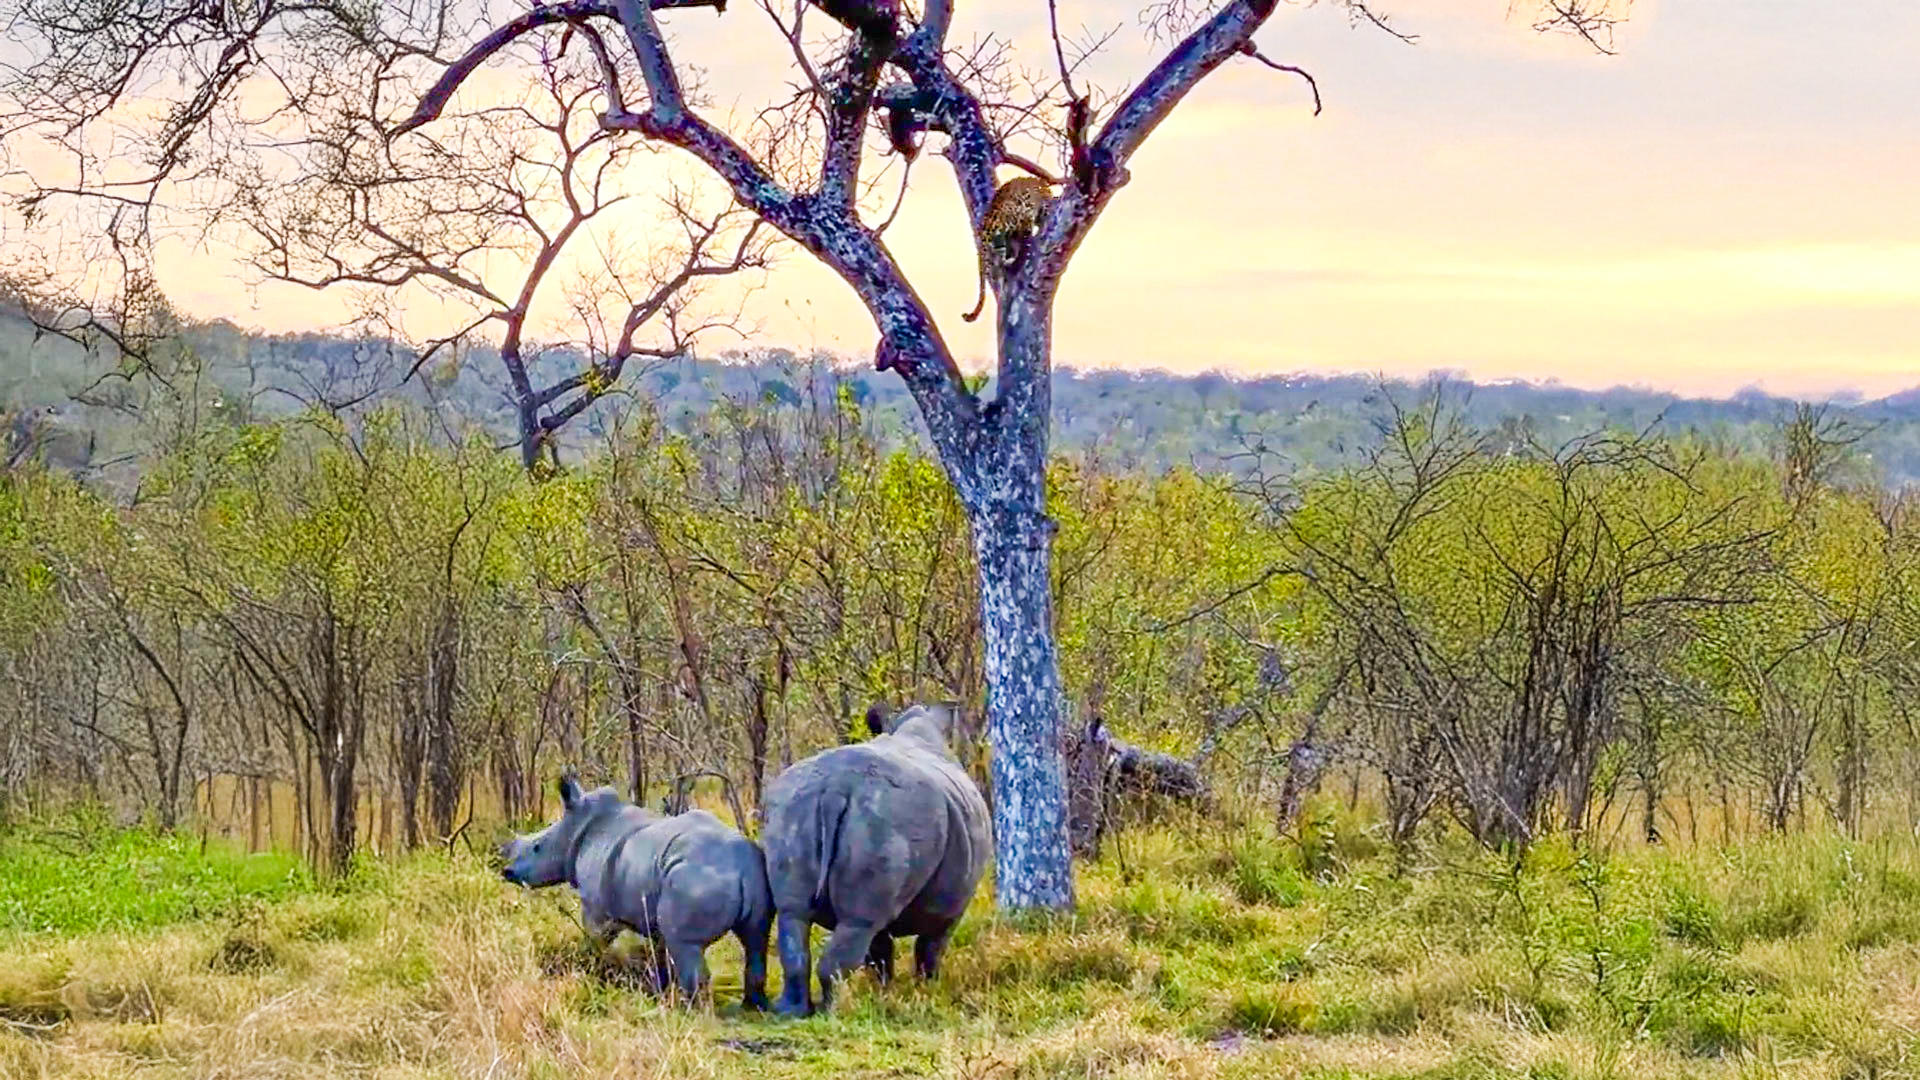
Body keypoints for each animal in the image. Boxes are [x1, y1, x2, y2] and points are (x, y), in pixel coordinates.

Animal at [500, 775, 772, 1009]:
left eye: (537, 848)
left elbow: (595, 938)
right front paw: (661, 986)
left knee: (687, 944)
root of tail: (738, 867)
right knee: (756, 938)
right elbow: (660, 949)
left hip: (694, 876)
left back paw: (692, 1009)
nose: (507, 871)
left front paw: (589, 967)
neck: (578, 827)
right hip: (754, 873)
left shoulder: (597, 906)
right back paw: (753, 1006)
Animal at [760, 702, 992, 1015]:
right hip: (889, 817)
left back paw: (791, 1011)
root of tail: (835, 787)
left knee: (793, 913)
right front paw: (928, 989)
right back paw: (836, 1011)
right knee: (859, 924)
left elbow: (881, 951)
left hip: (792, 810)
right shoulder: (953, 905)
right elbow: (929, 947)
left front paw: (884, 990)